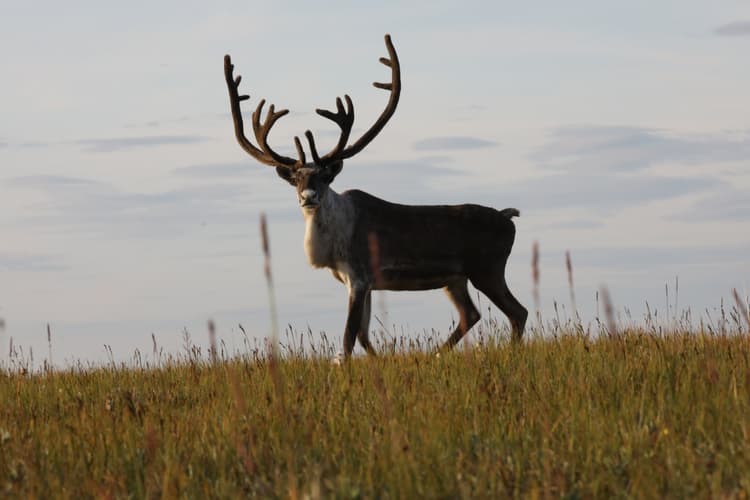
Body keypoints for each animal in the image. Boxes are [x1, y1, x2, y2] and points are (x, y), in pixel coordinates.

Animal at [224, 34, 527, 358]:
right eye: (296, 179)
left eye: (324, 176)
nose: (308, 196)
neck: (334, 242)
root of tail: (508, 217)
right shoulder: (364, 284)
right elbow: (363, 335)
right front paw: (381, 359)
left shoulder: (359, 278)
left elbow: (348, 337)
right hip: (456, 279)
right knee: (471, 314)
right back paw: (437, 353)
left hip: (487, 269)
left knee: (517, 312)